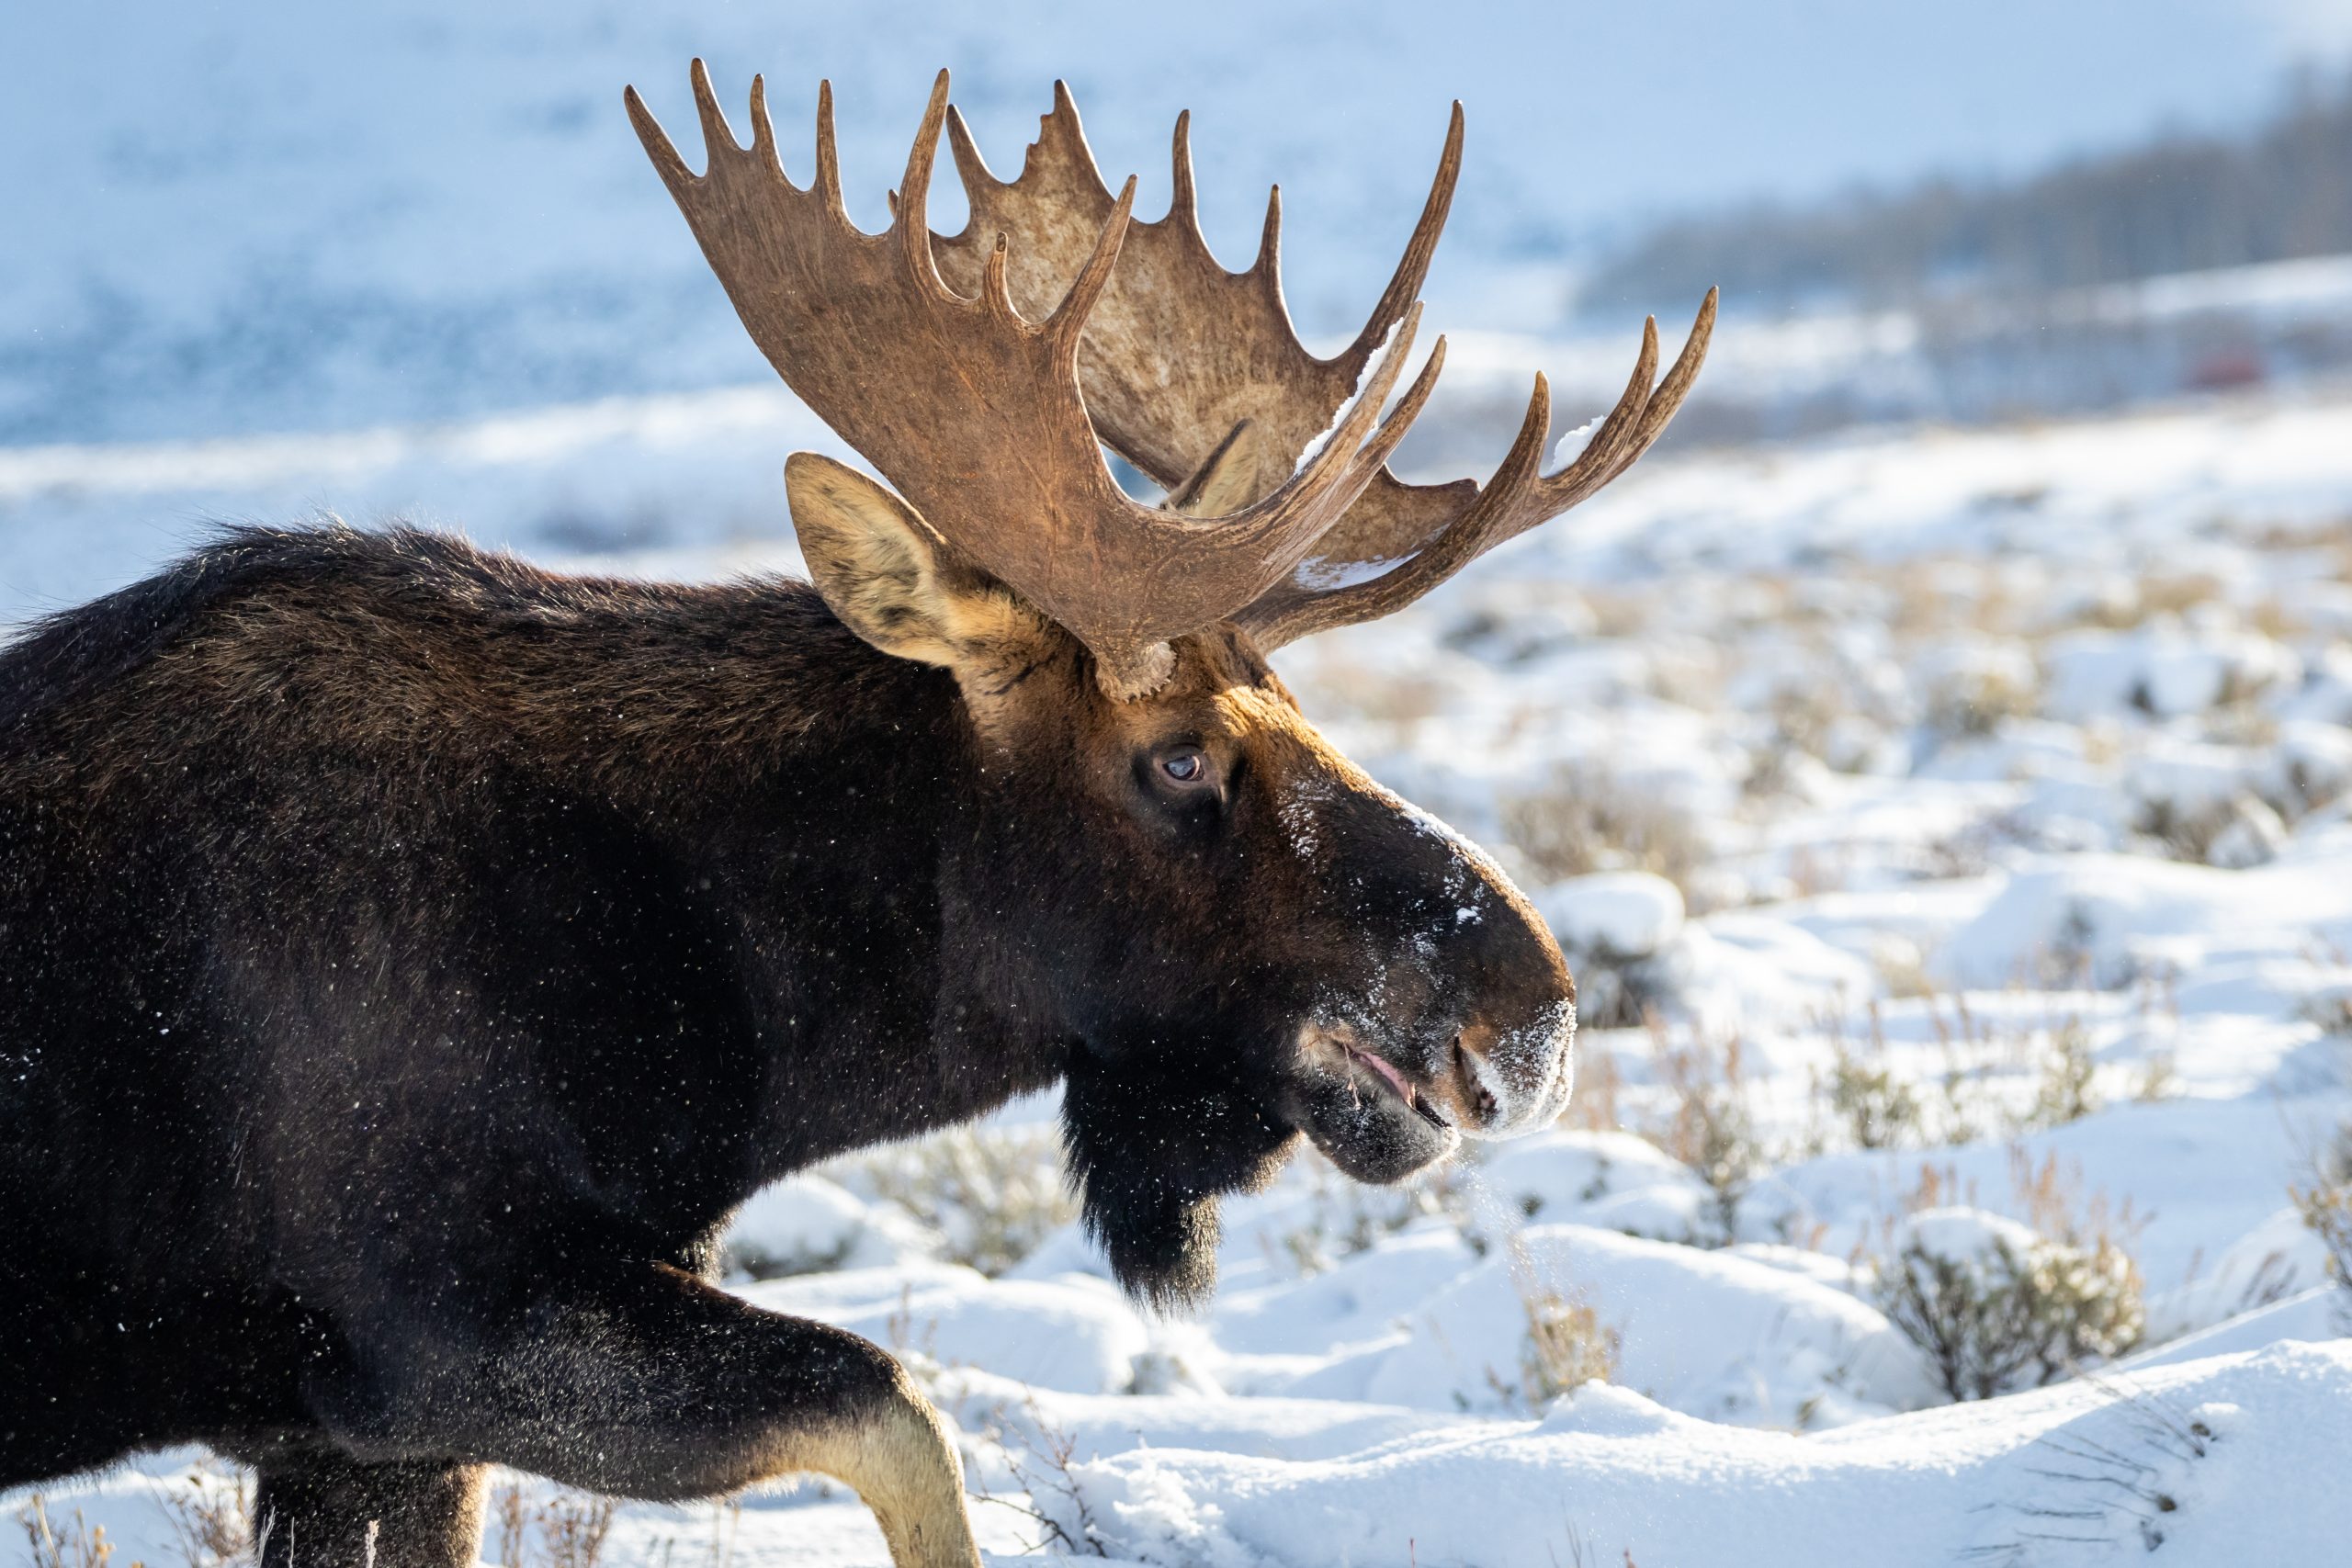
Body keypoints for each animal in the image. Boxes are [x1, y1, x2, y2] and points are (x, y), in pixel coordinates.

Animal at [0, 62, 1710, 1568]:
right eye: (1177, 756)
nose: (1534, 1013)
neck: (734, 1020)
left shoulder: (357, 1430)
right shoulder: (436, 1326)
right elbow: (902, 1418)